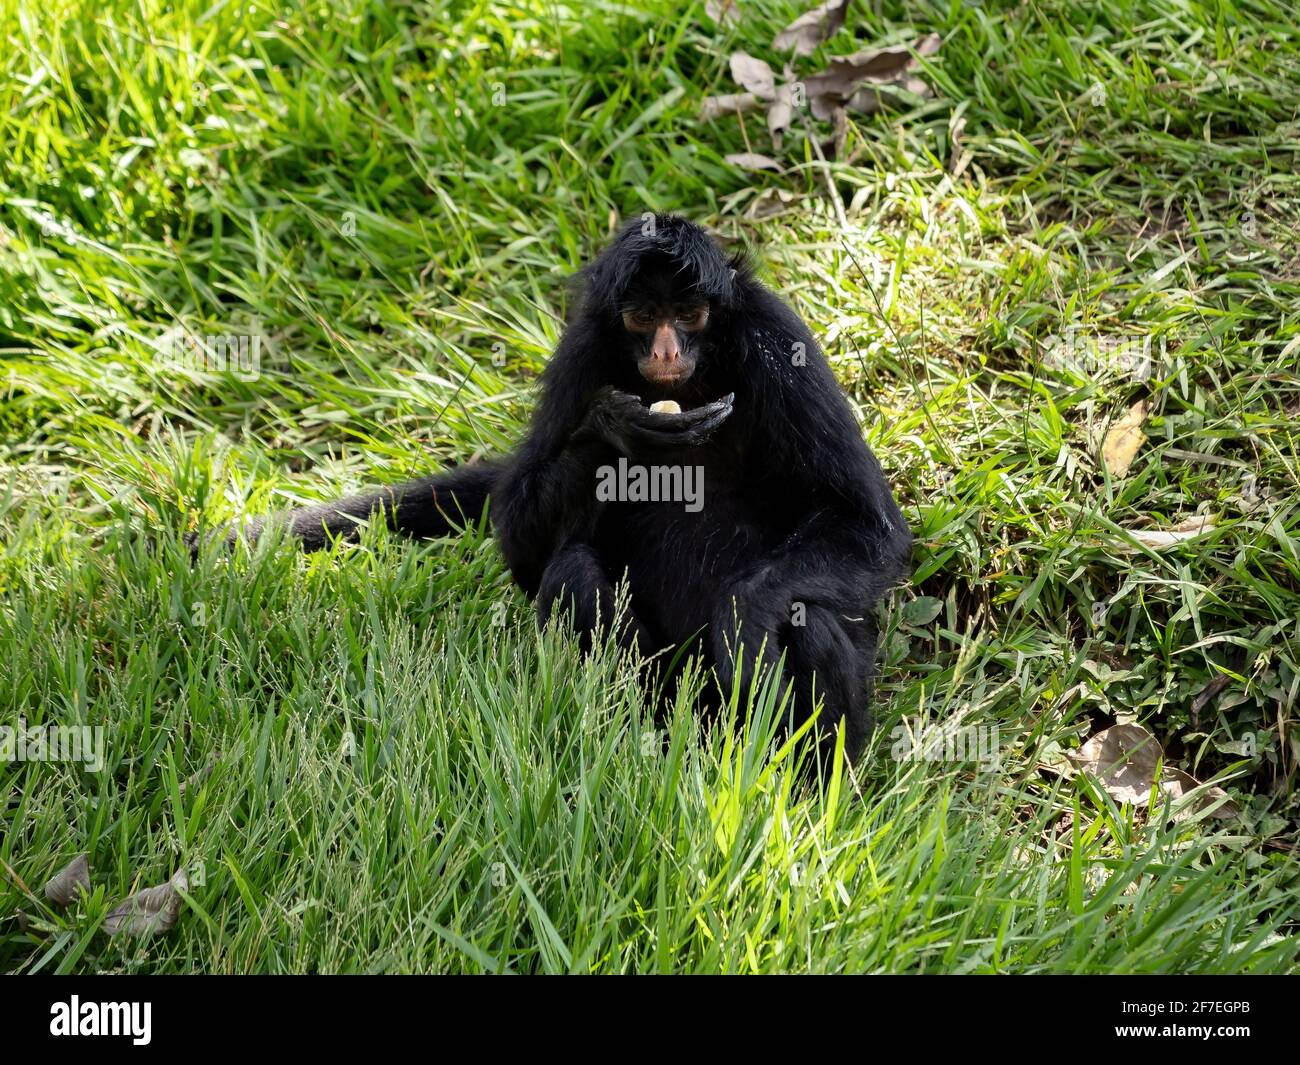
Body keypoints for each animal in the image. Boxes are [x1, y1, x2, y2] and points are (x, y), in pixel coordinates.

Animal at [205, 216, 912, 767]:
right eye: (642, 317)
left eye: (689, 315)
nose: (664, 351)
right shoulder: (584, 348)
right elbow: (523, 547)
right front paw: (613, 426)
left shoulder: (774, 335)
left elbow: (871, 530)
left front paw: (742, 620)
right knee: (573, 570)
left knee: (806, 611)